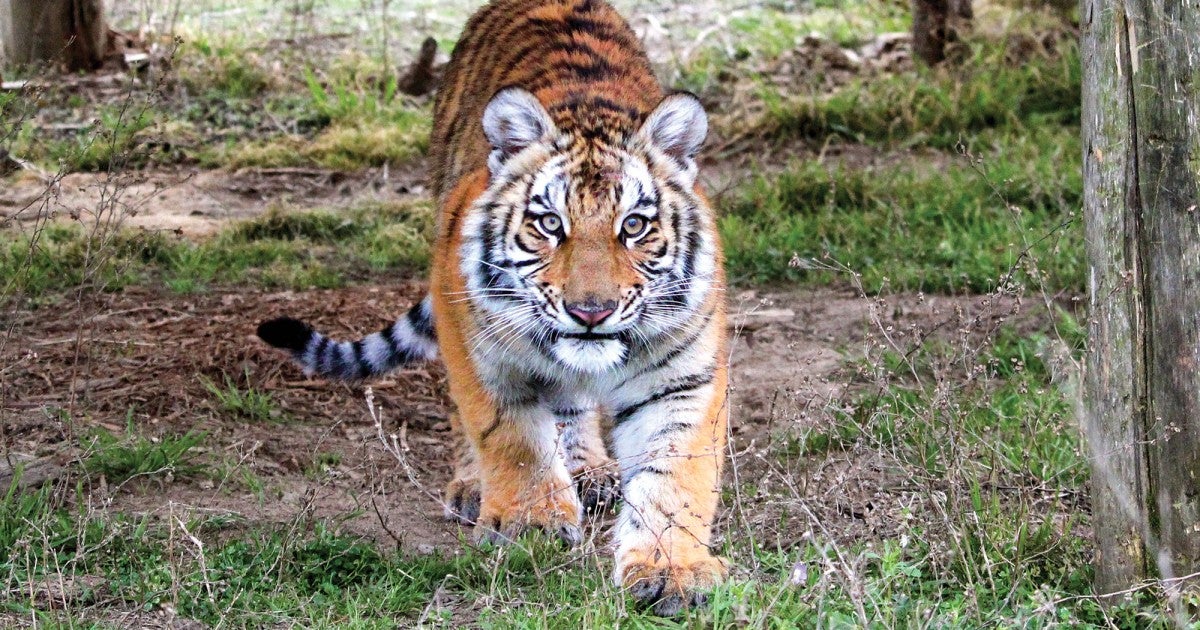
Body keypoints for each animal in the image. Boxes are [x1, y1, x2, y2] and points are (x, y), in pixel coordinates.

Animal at [256, 0, 729, 615]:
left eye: (633, 226)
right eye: (549, 224)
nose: (591, 312)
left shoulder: (680, 377)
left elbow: (674, 474)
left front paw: (673, 570)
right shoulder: (482, 350)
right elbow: (512, 436)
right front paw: (531, 522)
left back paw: (589, 472)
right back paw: (474, 487)